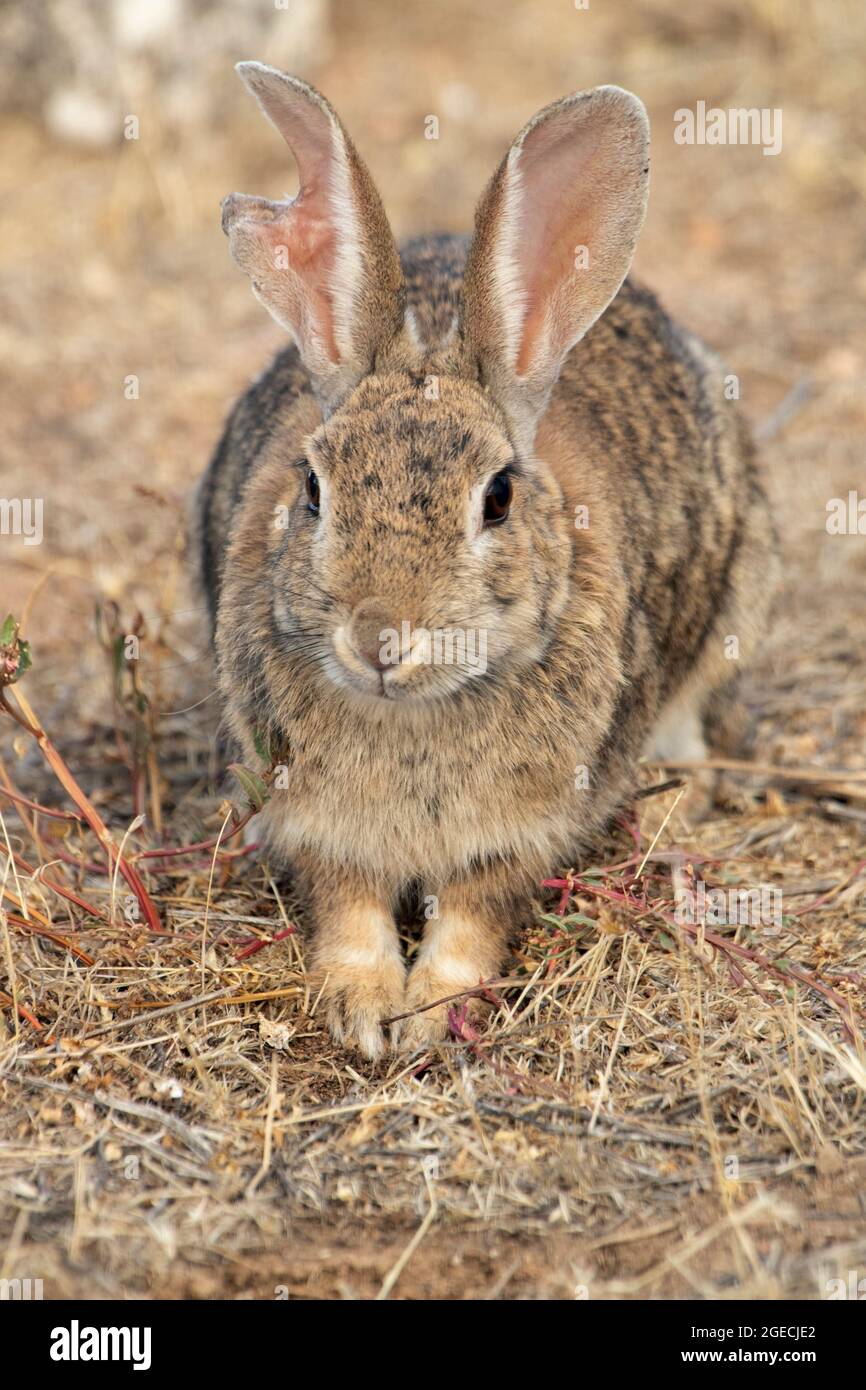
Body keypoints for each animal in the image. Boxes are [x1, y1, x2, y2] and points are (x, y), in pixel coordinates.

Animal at [193, 62, 778, 1058]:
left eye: (497, 497)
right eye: (313, 489)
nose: (379, 640)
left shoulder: (526, 830)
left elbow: (472, 915)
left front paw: (433, 1011)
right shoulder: (313, 822)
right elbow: (349, 909)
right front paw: (363, 1007)